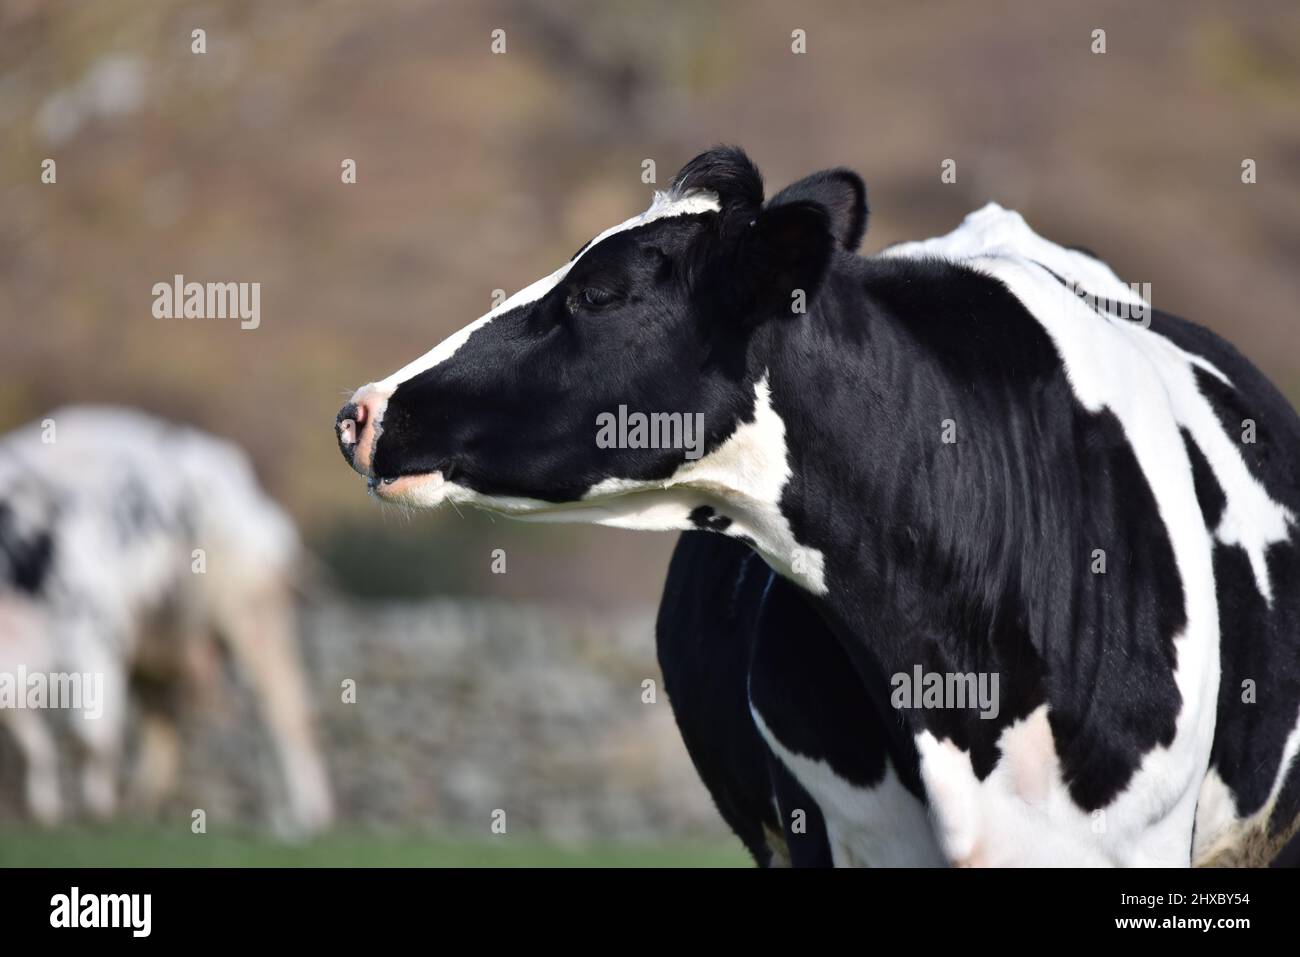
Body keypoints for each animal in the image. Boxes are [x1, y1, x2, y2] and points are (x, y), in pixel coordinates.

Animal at [0, 406, 333, 835]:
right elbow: (34, 741)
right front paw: (50, 810)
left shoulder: (97, 634)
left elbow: (90, 736)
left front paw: (95, 810)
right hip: (160, 644)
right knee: (164, 728)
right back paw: (142, 808)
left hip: (251, 615)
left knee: (284, 710)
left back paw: (305, 817)